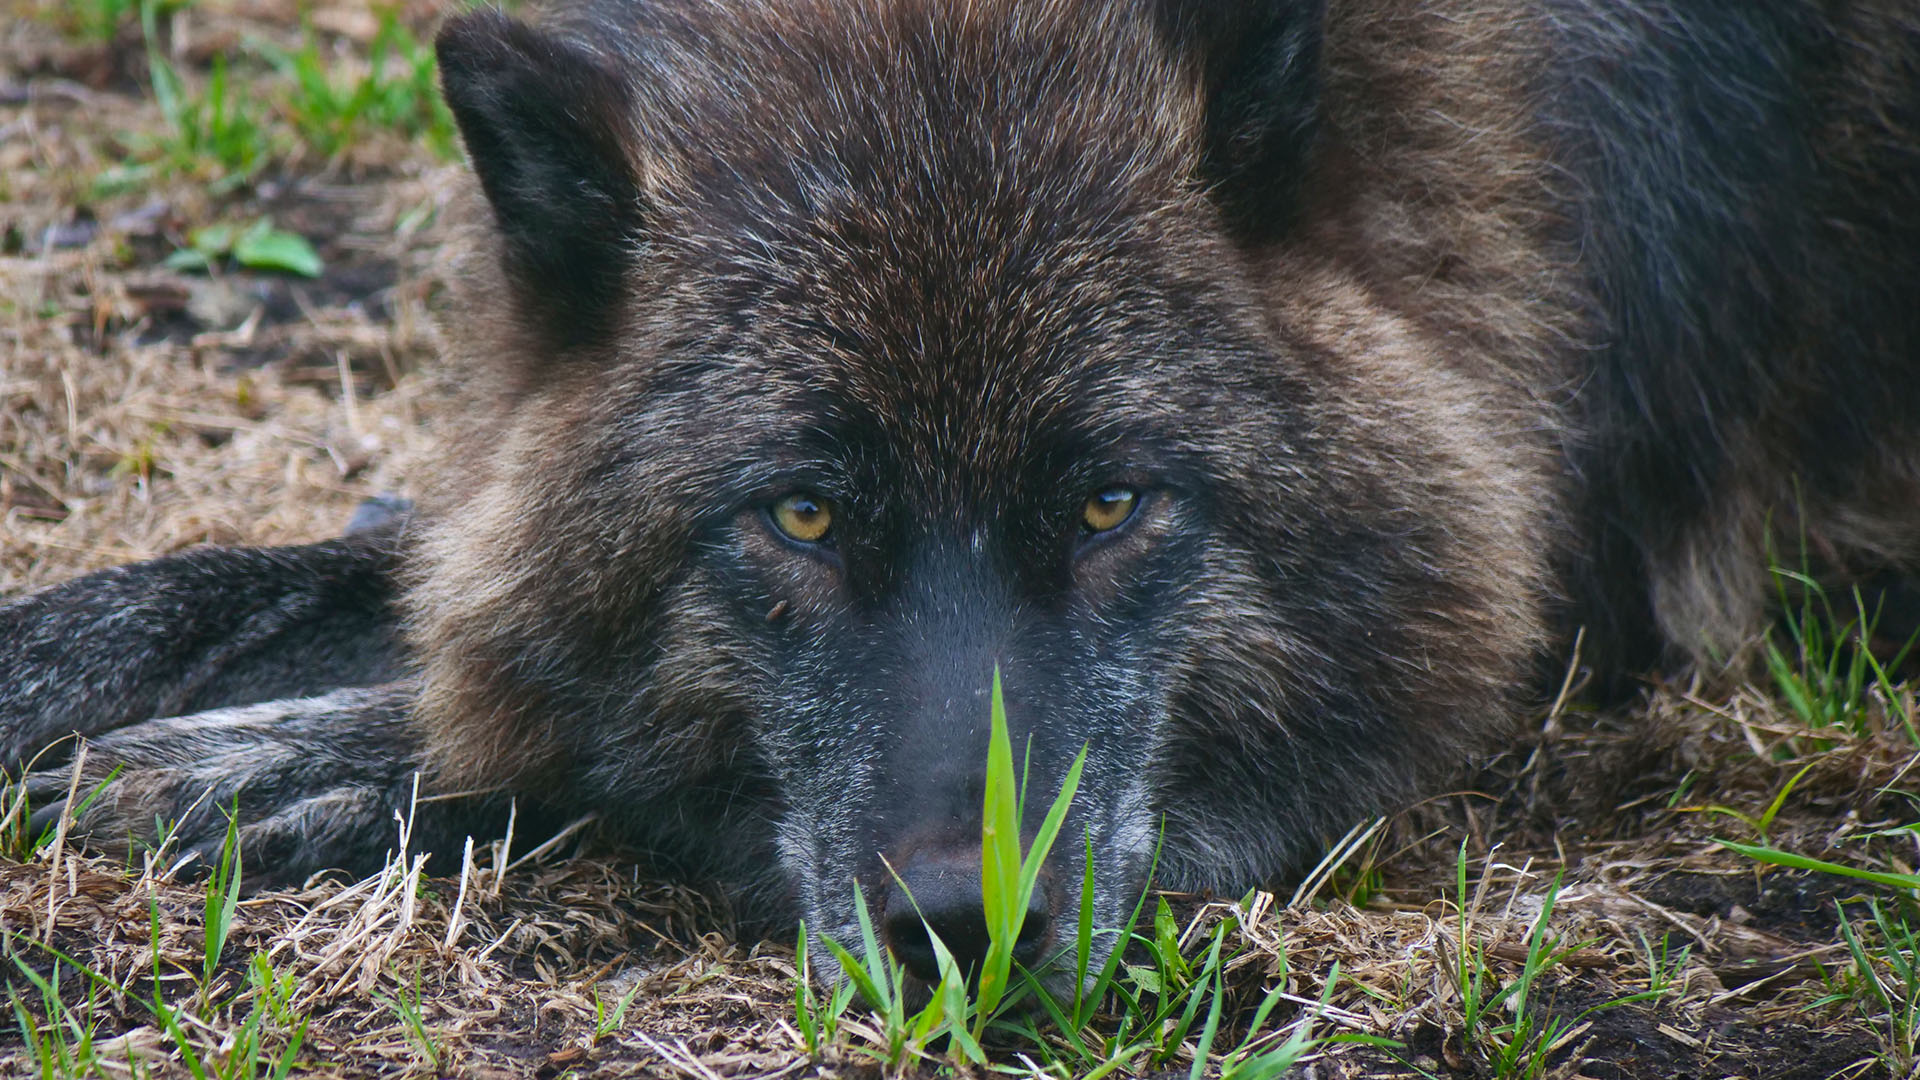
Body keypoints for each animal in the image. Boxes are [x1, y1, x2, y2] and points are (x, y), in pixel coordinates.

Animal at [3, 0, 1916, 987]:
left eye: (1110, 507)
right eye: (801, 517)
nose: (959, 928)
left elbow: (519, 716)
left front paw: (254, 772)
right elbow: (328, 571)